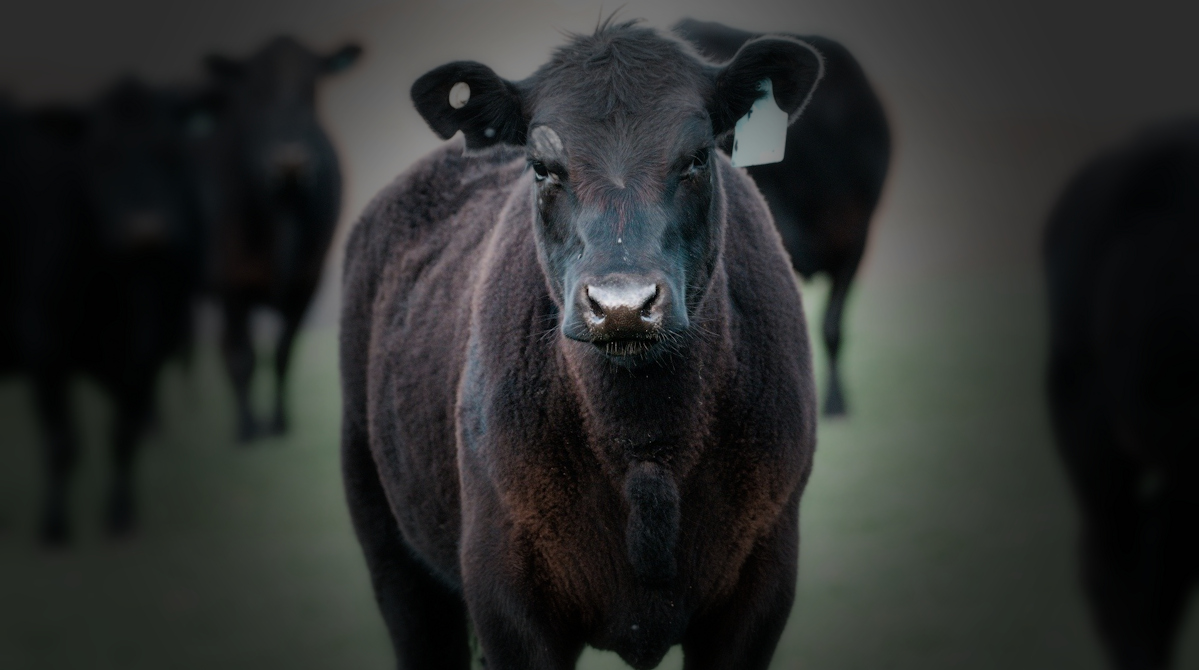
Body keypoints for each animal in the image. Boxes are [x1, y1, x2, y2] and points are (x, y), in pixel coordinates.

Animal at [1, 78, 204, 543]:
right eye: (100, 156)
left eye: (170, 150)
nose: (145, 232)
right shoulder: (43, 343)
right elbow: (62, 443)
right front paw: (54, 525)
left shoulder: (149, 350)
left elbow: (123, 437)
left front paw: (121, 514)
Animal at [199, 36, 361, 441]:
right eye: (255, 90)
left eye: (311, 87)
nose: (290, 158)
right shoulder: (229, 280)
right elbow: (242, 356)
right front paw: (247, 430)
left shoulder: (308, 281)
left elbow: (283, 353)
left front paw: (278, 423)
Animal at [341, 19, 821, 669]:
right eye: (542, 167)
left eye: (698, 157)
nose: (621, 304)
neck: (647, 449)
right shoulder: (504, 589)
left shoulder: (762, 581)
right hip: (388, 542)